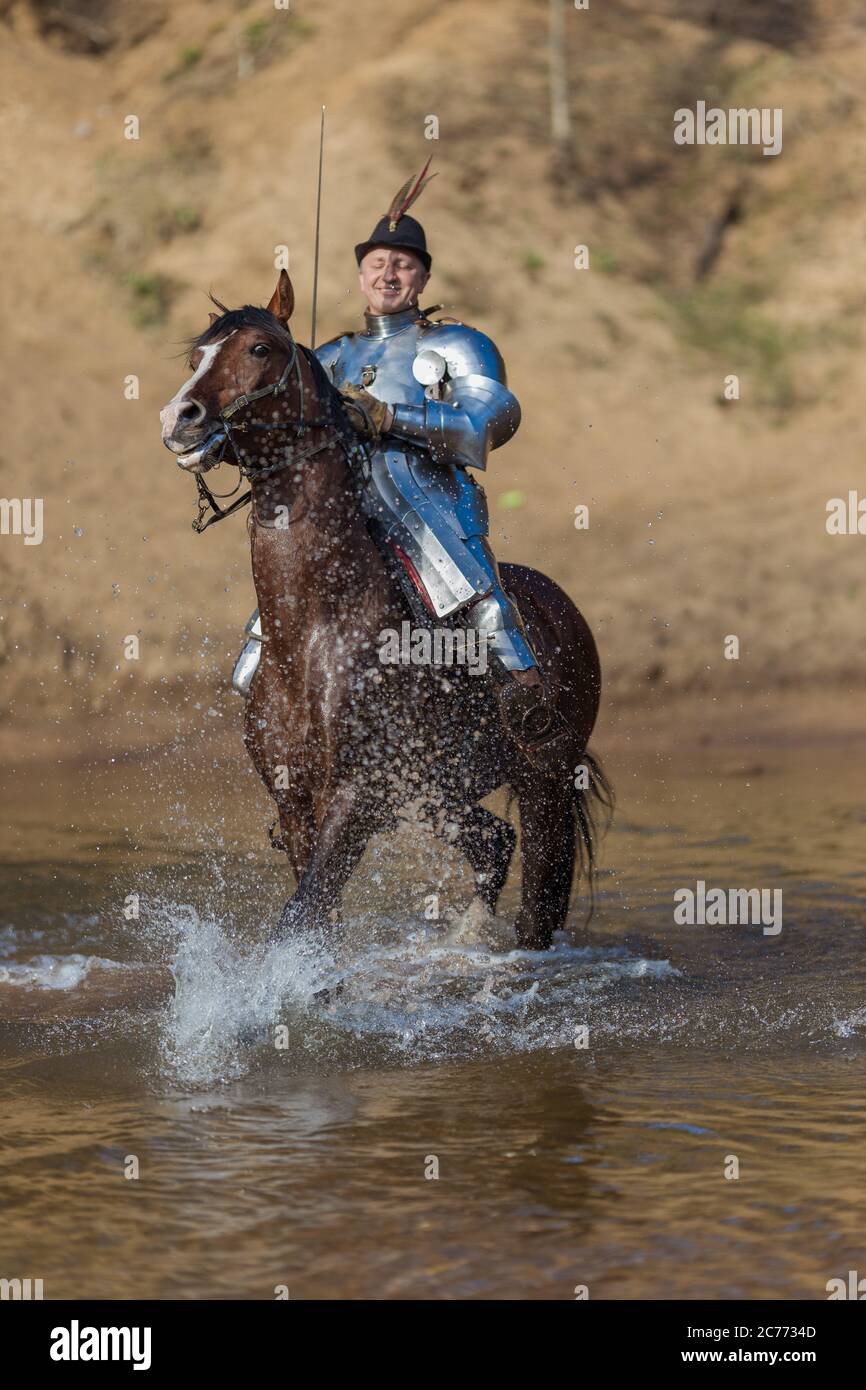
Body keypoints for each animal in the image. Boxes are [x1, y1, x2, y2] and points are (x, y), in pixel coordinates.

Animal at [160, 271, 612, 950]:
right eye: (196, 359)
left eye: (260, 349)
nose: (178, 419)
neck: (314, 632)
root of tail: (562, 607)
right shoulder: (297, 803)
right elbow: (316, 919)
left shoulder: (357, 797)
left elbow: (301, 915)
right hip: (438, 794)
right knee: (493, 843)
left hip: (545, 783)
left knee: (536, 901)